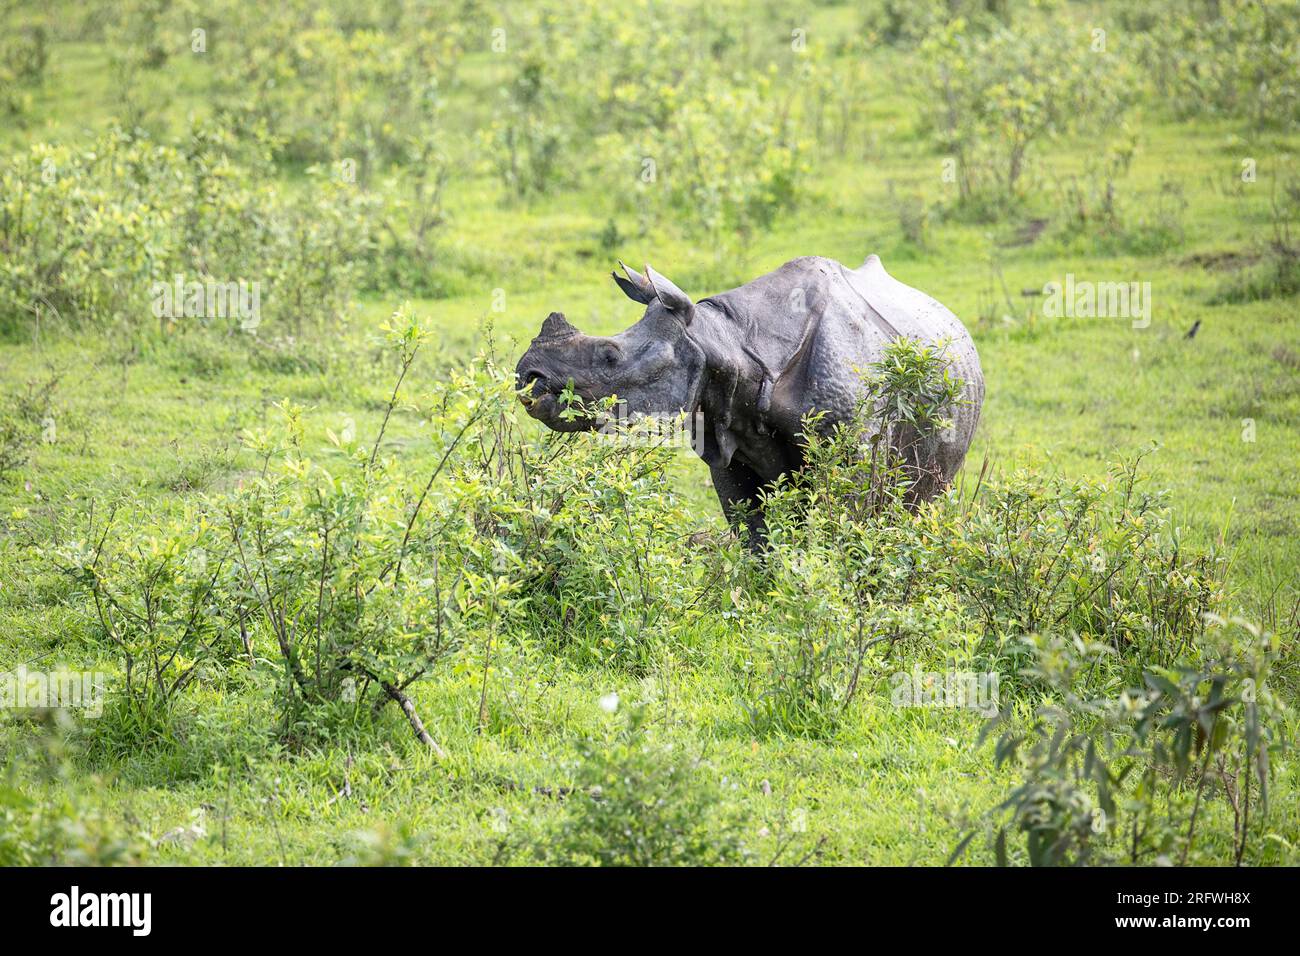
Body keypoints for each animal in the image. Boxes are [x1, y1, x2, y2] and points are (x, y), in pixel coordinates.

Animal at [516, 255, 984, 543]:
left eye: (610, 356)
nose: (528, 375)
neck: (725, 340)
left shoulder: (849, 449)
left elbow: (839, 525)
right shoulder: (725, 442)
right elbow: (753, 533)